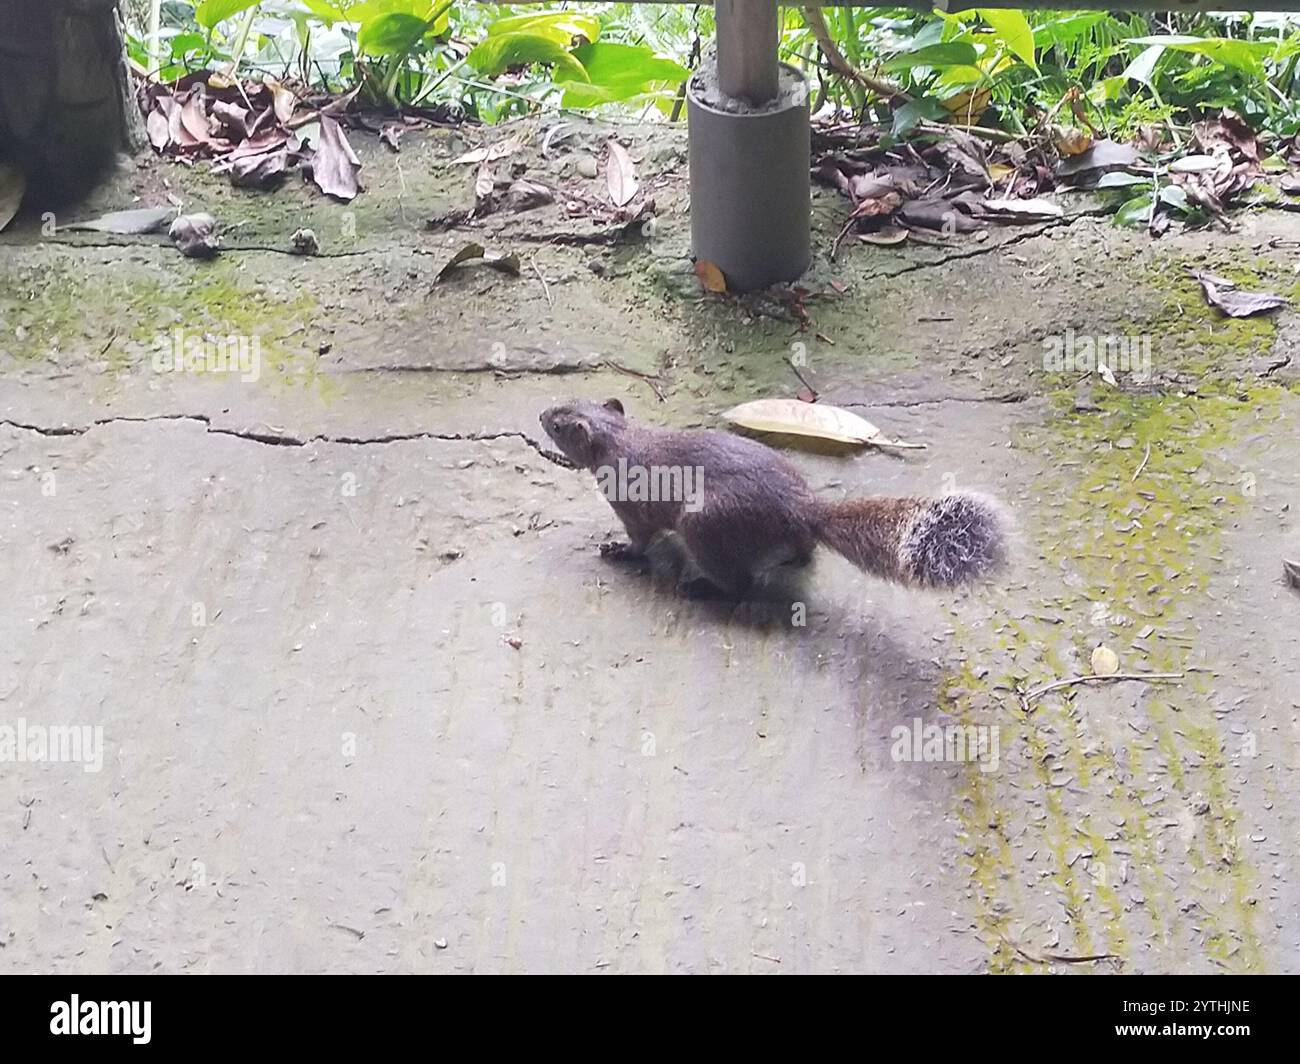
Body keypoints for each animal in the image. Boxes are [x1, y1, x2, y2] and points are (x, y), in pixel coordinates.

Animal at [541, 398, 1009, 598]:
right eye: (571, 400)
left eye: (560, 426)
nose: (541, 414)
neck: (621, 439)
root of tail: (801, 509)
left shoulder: (633, 508)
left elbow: (640, 541)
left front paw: (618, 550)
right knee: (803, 552)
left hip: (704, 524)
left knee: (740, 585)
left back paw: (699, 587)